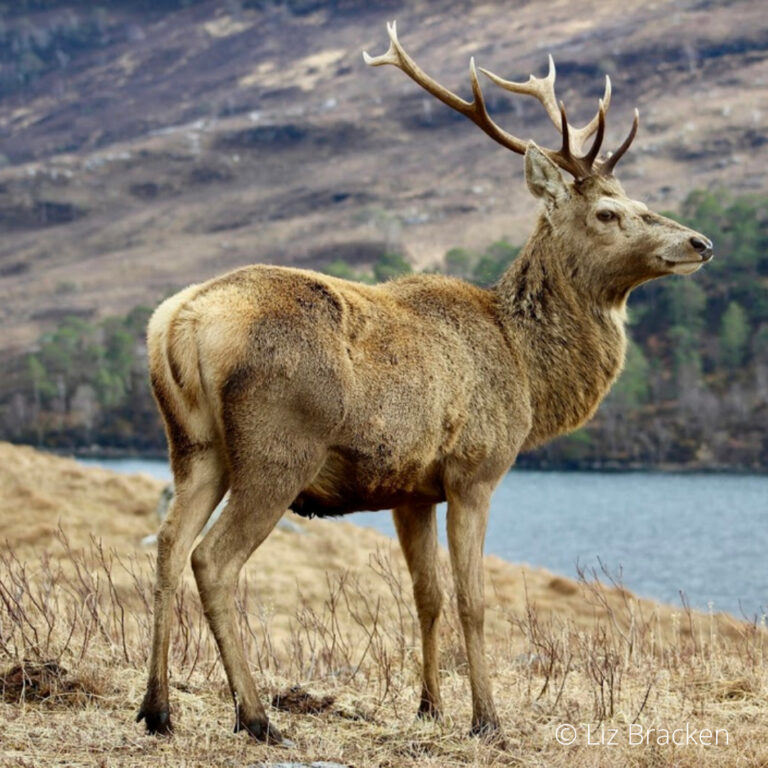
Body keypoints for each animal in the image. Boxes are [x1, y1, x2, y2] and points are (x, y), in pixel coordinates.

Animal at [137, 21, 713, 745]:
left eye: (642, 201)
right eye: (609, 212)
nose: (700, 242)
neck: (528, 372)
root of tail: (181, 321)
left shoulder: (412, 489)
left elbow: (426, 597)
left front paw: (430, 706)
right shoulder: (475, 470)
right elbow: (473, 601)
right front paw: (487, 719)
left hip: (192, 445)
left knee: (165, 545)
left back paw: (157, 710)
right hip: (278, 447)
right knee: (212, 559)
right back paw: (257, 716)